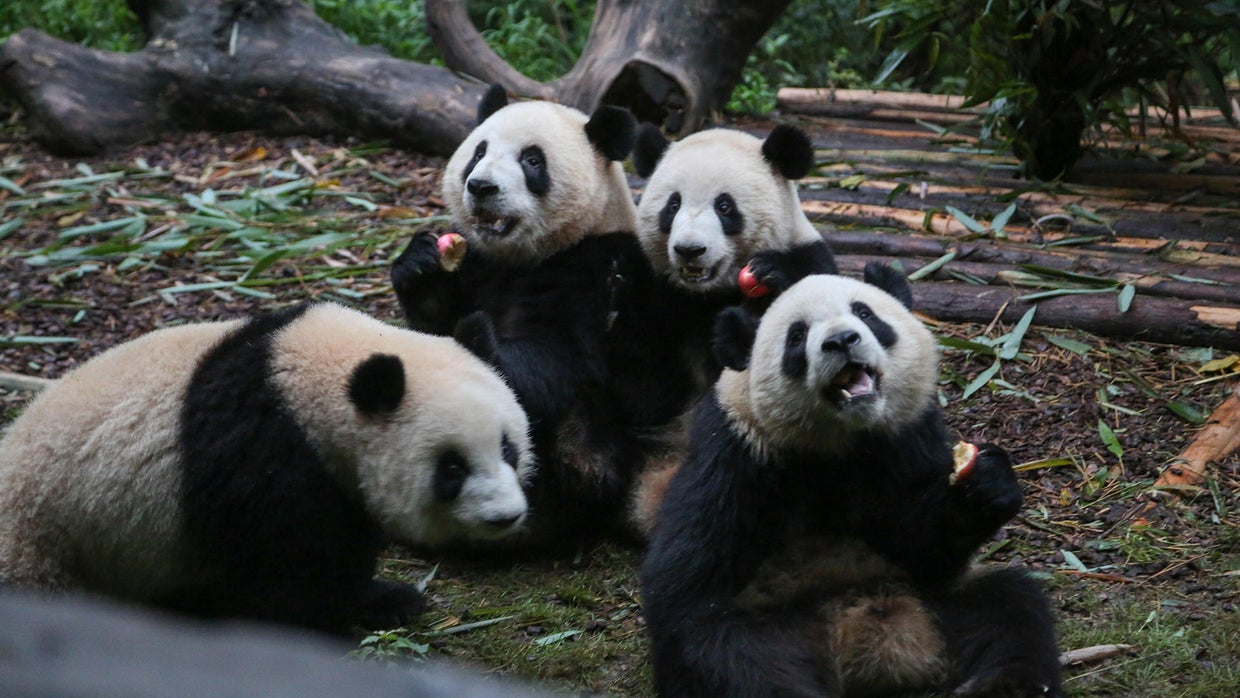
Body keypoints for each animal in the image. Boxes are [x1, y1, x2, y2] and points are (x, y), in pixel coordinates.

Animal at [0, 302, 533, 635]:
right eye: (451, 468)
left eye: (508, 448)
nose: (506, 517)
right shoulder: (262, 457)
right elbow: (288, 575)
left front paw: (385, 600)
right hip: (46, 548)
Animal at [390, 85, 680, 549]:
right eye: (478, 151)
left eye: (532, 161)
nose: (481, 186)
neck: (523, 257)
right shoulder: (479, 262)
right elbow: (432, 323)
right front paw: (420, 265)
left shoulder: (592, 270)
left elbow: (556, 358)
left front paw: (481, 350)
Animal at [626, 124, 839, 534]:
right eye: (672, 205)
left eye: (724, 207)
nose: (690, 249)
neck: (708, 292)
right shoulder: (660, 298)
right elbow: (644, 384)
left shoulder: (811, 262)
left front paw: (766, 279)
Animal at [639, 268, 1063, 697]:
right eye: (796, 335)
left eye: (865, 313)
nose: (842, 340)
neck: (840, 439)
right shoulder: (737, 450)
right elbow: (688, 585)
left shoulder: (906, 438)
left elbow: (921, 546)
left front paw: (983, 485)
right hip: (779, 628)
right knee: (737, 657)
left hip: (941, 607)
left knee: (1011, 610)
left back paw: (1003, 685)